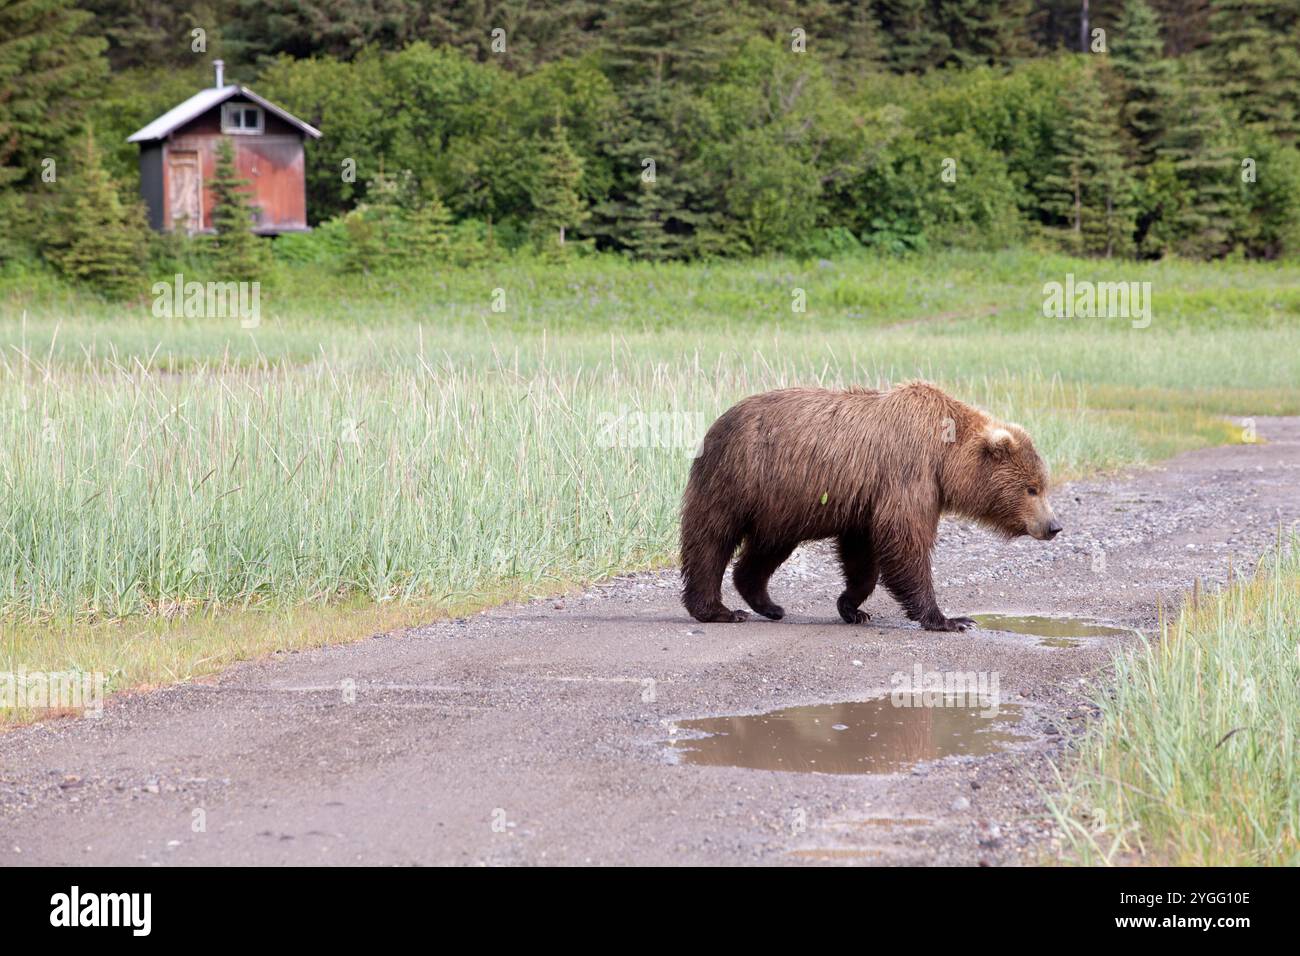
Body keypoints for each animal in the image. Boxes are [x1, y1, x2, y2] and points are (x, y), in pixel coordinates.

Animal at [679, 381, 1061, 631]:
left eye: (1043, 485)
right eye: (1031, 489)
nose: (1054, 526)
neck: (945, 455)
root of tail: (716, 423)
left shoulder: (864, 500)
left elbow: (862, 556)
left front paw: (852, 608)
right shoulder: (909, 471)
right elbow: (904, 539)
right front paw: (949, 619)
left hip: (780, 506)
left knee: (766, 549)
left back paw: (769, 605)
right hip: (739, 477)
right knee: (711, 539)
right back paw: (718, 610)